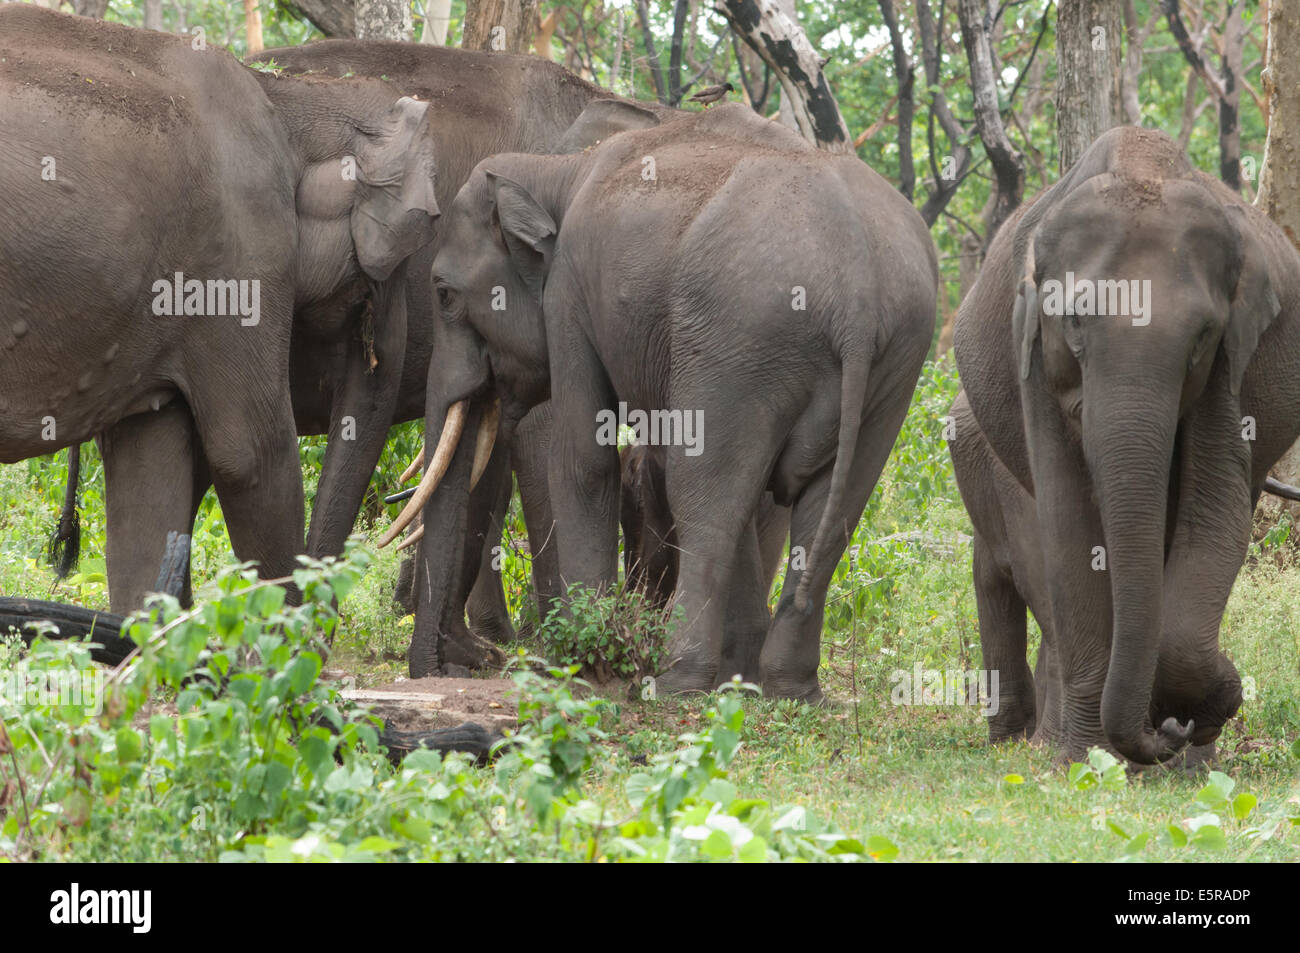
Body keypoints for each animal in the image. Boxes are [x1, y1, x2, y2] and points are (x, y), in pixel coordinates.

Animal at [385, 104, 938, 697]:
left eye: (443, 293)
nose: (445, 670)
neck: (556, 171)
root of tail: (857, 297)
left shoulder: (570, 295)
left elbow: (582, 458)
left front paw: (580, 663)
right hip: (893, 363)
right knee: (831, 513)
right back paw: (785, 688)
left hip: (738, 340)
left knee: (705, 495)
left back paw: (677, 681)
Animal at [953, 125, 1300, 765]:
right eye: (1074, 323)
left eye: (1203, 335)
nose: (1171, 729)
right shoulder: (1030, 353)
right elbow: (1067, 516)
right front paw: (1086, 761)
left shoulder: (1232, 363)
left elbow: (1216, 503)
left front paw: (1194, 720)